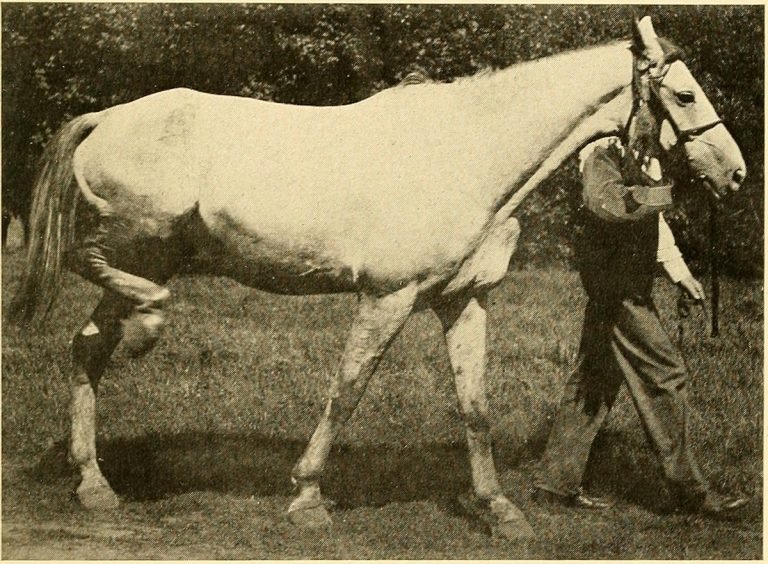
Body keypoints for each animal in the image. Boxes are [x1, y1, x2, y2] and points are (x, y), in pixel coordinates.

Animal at [10, 17, 745, 540]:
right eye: (684, 94)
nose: (734, 172)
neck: (468, 152)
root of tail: (105, 118)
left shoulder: (464, 302)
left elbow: (475, 407)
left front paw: (499, 509)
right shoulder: (387, 298)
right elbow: (347, 390)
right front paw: (308, 498)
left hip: (151, 252)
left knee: (86, 347)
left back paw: (94, 484)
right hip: (143, 237)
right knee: (78, 264)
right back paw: (148, 328)